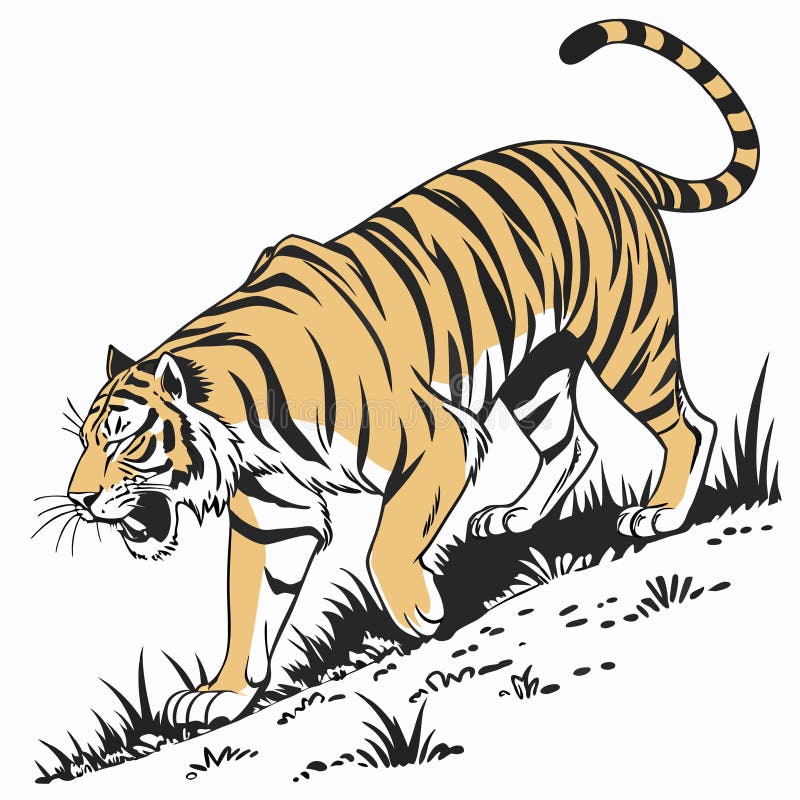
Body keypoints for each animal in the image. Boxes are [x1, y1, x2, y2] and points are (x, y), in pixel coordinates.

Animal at [64, 19, 758, 726]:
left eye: (124, 439)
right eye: (87, 441)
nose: (78, 499)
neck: (244, 434)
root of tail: (605, 155)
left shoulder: (437, 439)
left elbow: (384, 543)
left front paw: (418, 612)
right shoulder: (274, 514)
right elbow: (248, 606)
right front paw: (223, 694)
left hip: (628, 338)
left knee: (689, 425)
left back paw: (661, 513)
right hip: (536, 374)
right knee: (574, 442)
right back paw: (516, 517)